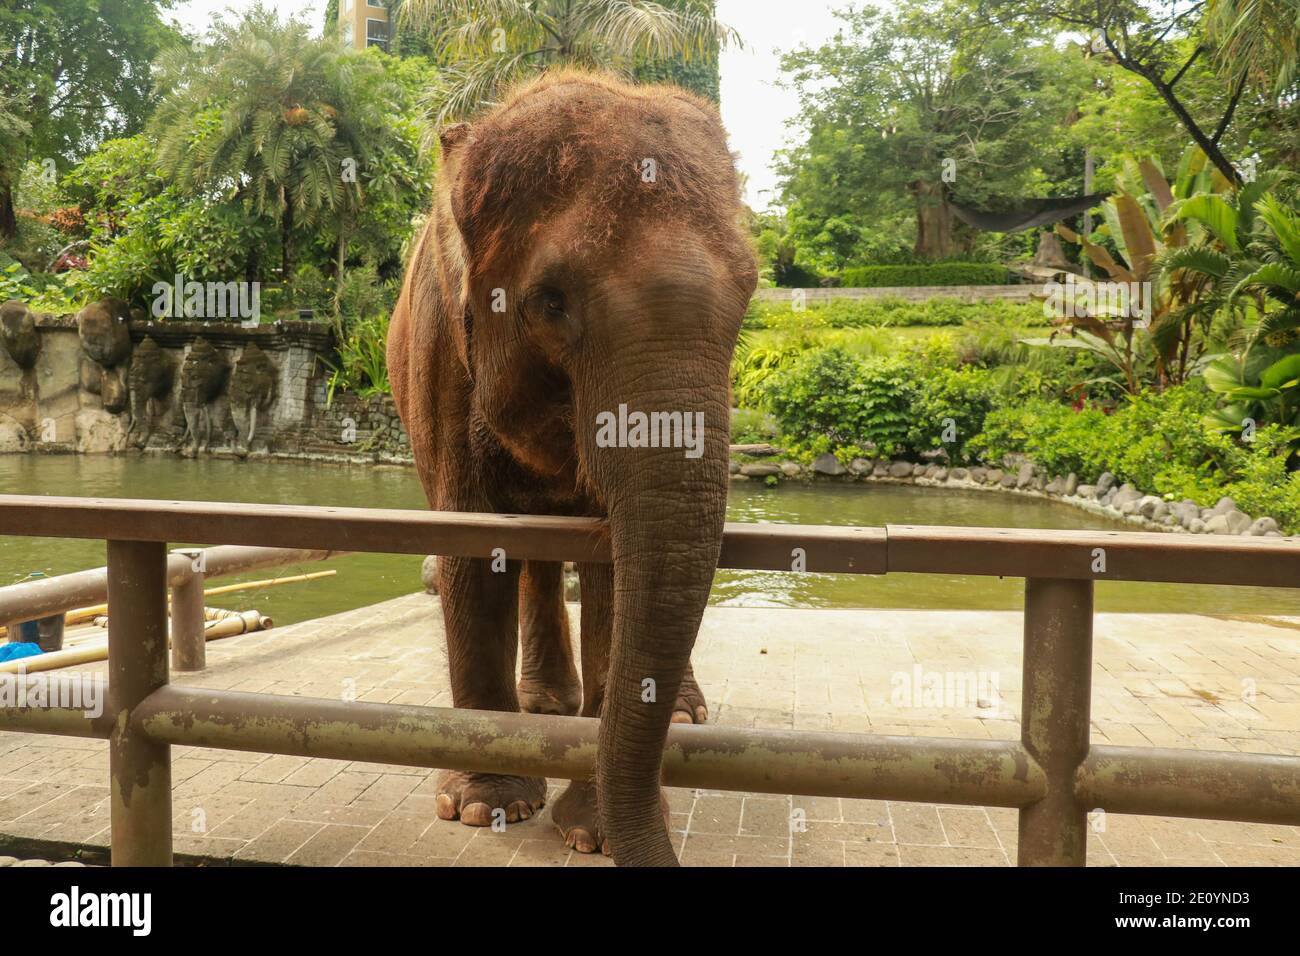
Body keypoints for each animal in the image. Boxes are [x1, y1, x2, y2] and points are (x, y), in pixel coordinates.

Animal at [387, 70, 757, 866]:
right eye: (550, 302)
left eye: (748, 294)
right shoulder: (441, 353)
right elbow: (472, 549)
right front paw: (484, 808)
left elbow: (614, 565)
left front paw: (590, 832)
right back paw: (543, 706)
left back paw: (676, 712)